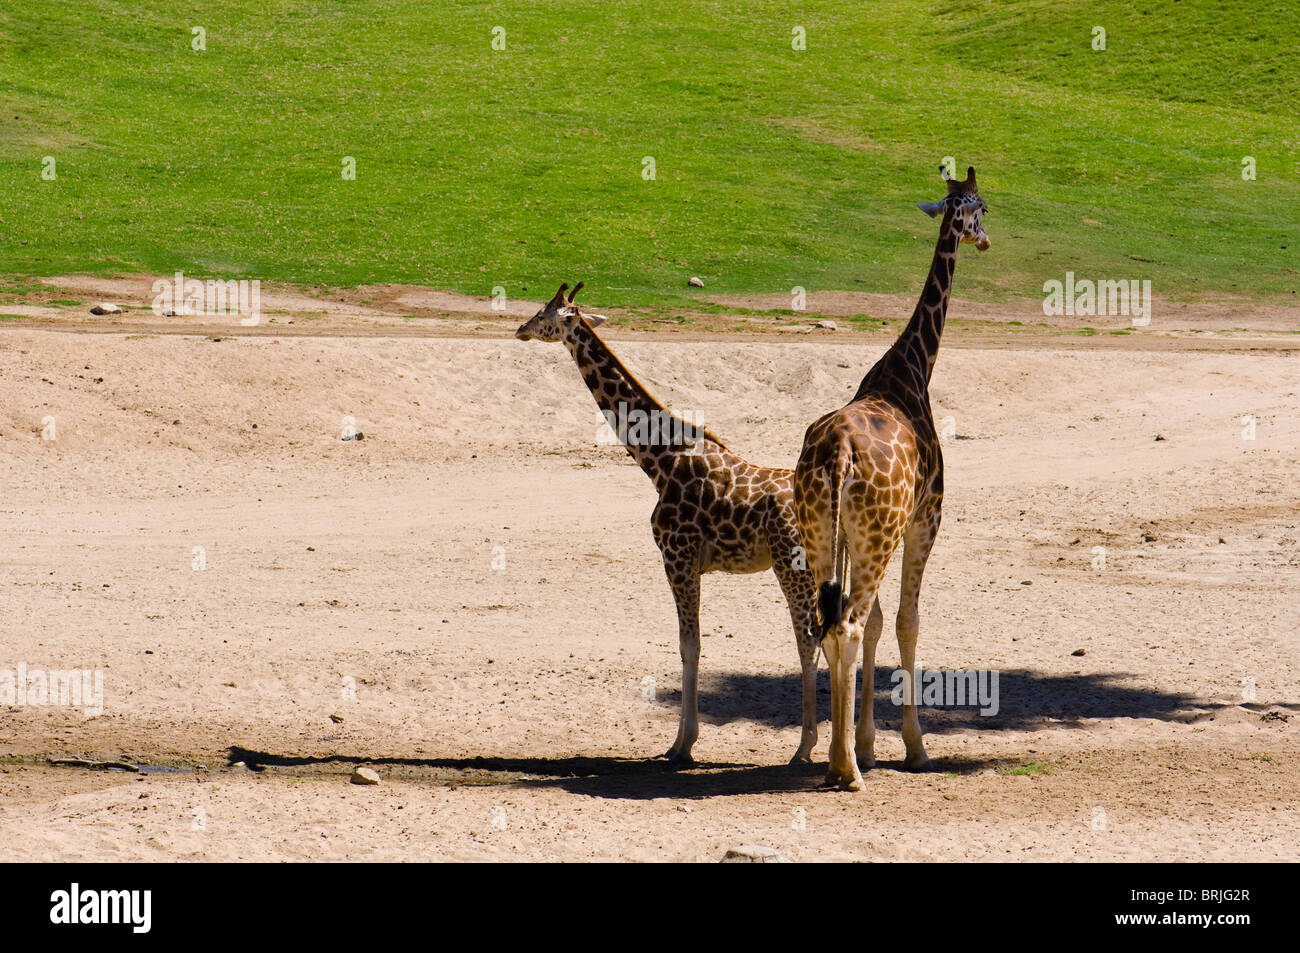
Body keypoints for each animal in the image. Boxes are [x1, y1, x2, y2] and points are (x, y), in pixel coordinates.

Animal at [516, 282, 821, 765]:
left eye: (545, 313)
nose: (520, 329)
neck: (659, 460)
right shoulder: (687, 562)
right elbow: (688, 645)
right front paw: (681, 741)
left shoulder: (677, 556)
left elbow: (688, 645)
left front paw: (682, 745)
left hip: (791, 566)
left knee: (809, 638)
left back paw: (804, 749)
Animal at [793, 166, 990, 790]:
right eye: (980, 207)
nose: (985, 241)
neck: (914, 366)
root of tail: (838, 455)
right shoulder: (927, 516)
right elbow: (905, 621)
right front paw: (912, 748)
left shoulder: (862, 536)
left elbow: (880, 621)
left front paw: (868, 743)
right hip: (877, 534)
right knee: (849, 625)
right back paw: (847, 772)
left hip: (823, 531)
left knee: (831, 623)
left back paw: (841, 762)